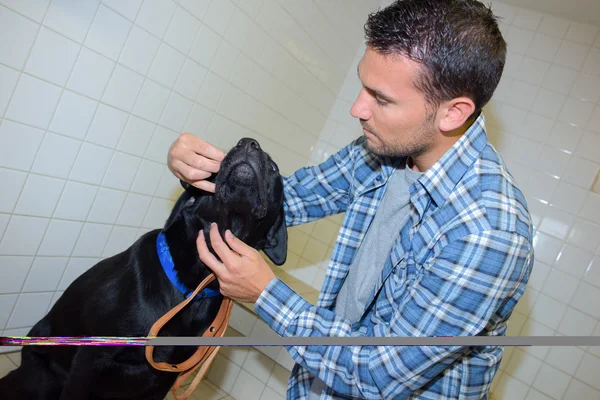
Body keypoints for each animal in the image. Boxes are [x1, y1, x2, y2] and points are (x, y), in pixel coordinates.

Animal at [0, 138, 288, 400]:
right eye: (223, 155)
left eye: (274, 167)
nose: (248, 143)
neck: (192, 286)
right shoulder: (91, 357)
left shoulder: (164, 378)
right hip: (43, 379)